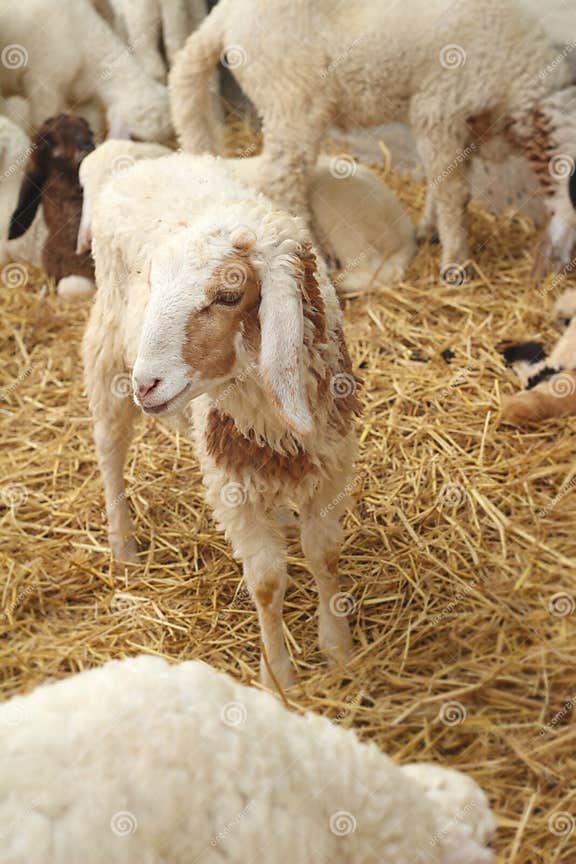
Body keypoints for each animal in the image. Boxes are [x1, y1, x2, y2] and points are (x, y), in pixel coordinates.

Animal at [82, 151, 360, 688]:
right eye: (153, 283)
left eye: (229, 296)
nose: (147, 384)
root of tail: (140, 161)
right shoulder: (230, 486)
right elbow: (268, 581)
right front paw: (279, 678)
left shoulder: (329, 467)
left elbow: (325, 555)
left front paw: (338, 649)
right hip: (107, 354)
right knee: (109, 448)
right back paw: (123, 546)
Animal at [170, 0, 576, 277]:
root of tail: (222, 15)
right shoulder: (439, 108)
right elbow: (455, 193)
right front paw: (456, 264)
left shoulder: (462, 126)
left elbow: (441, 179)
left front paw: (430, 231)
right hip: (292, 97)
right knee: (282, 178)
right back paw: (315, 254)